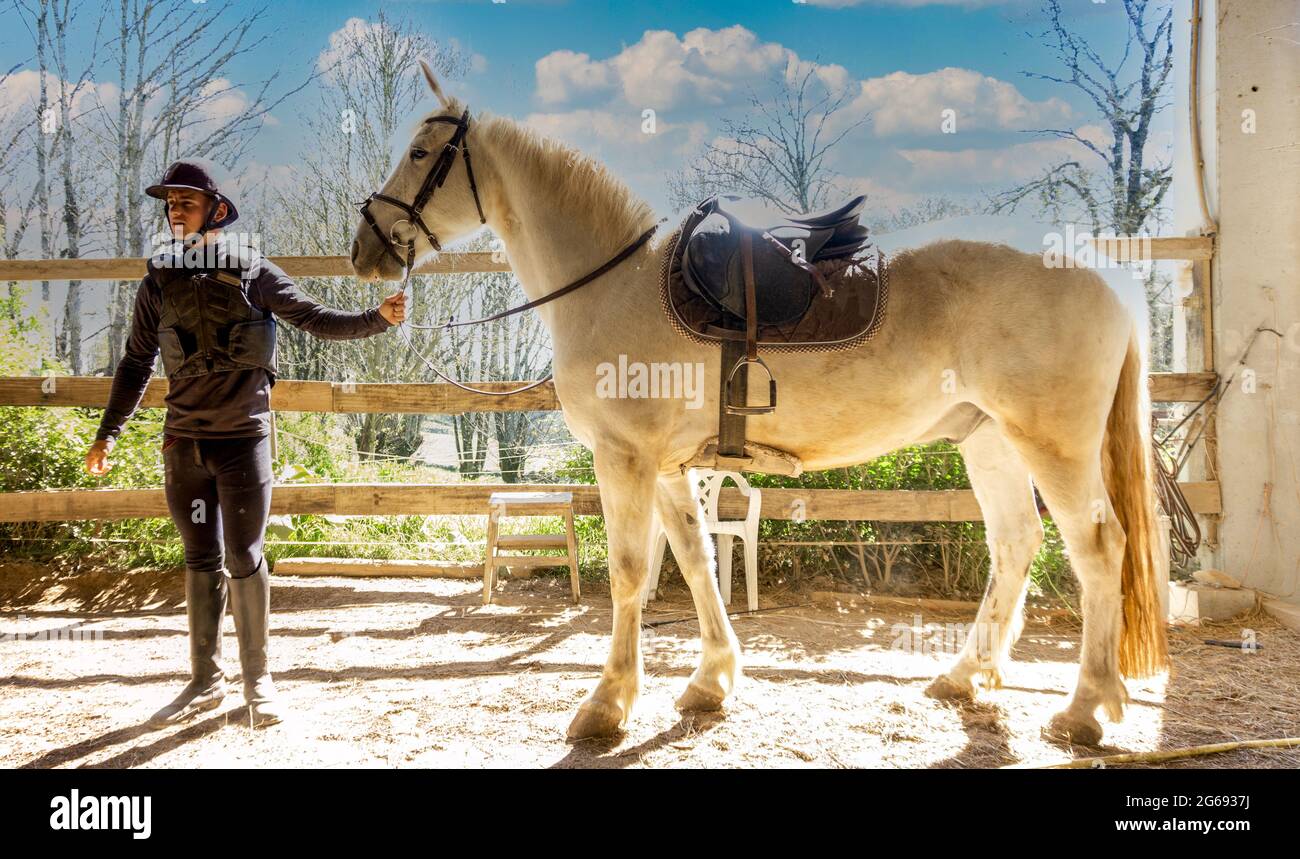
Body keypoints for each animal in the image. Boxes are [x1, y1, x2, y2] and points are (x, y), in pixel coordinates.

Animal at [349, 61, 1168, 747]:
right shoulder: (670, 467)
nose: (364, 248)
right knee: (1016, 543)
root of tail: (1097, 266)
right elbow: (697, 561)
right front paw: (710, 681)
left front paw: (607, 704)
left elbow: (628, 572)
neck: (610, 283)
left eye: (420, 155)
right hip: (988, 437)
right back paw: (967, 676)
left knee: (1099, 550)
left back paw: (1087, 707)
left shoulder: (625, 459)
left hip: (1052, 444)